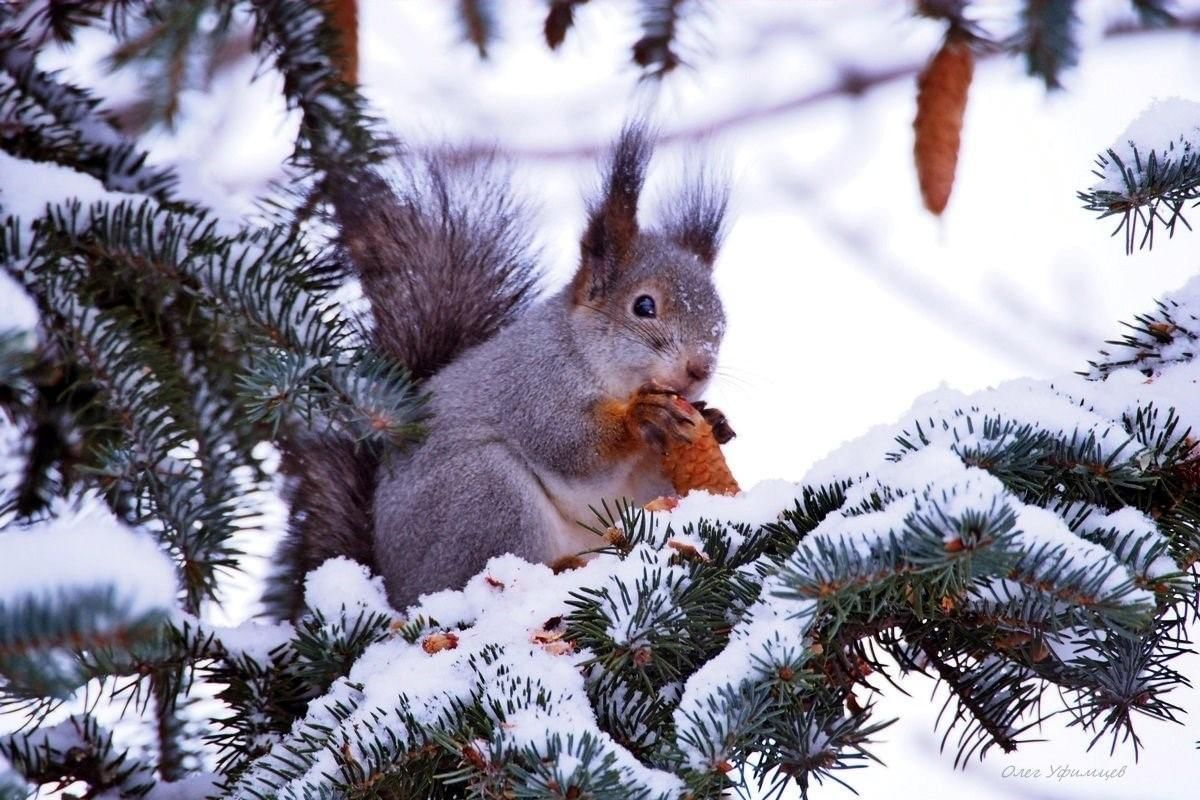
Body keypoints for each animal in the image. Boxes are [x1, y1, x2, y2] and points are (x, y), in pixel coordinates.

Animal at [265, 123, 729, 618]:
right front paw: (642, 417)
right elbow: (571, 446)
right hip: (485, 493)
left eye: (720, 319)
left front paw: (714, 420)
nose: (699, 368)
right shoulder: (534, 387)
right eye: (643, 306)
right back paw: (556, 571)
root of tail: (394, 587)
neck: (595, 364)